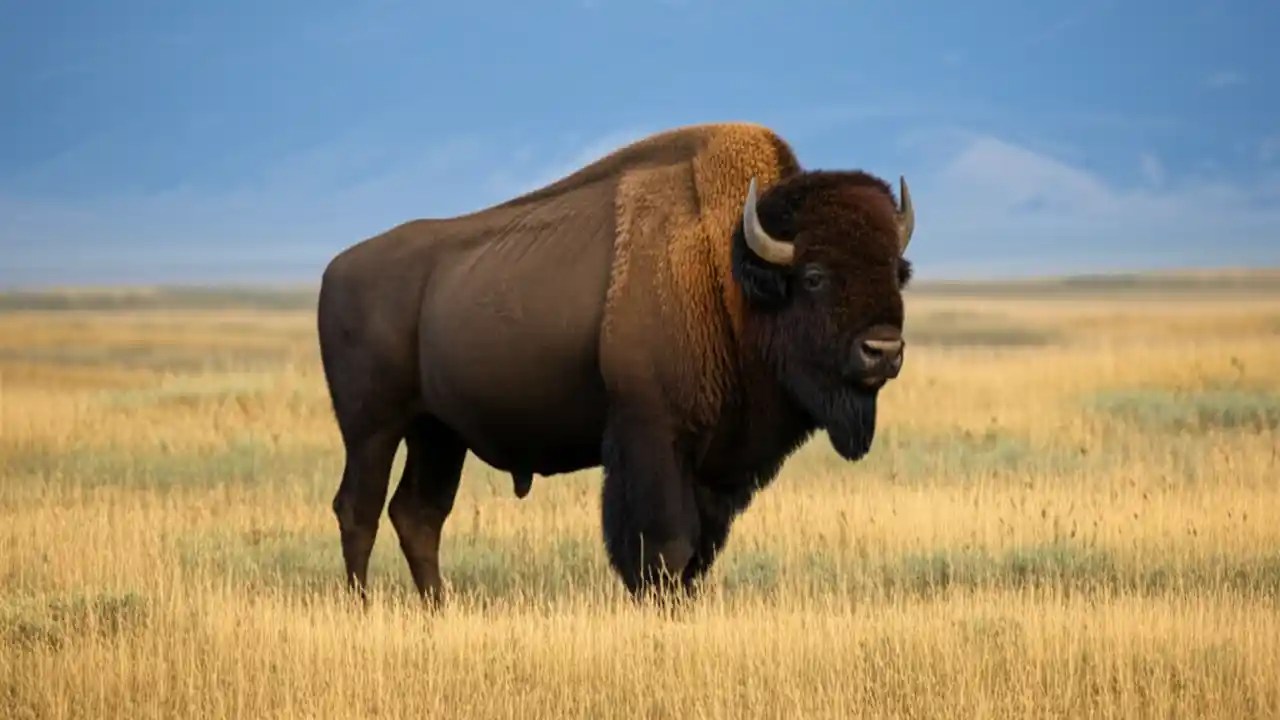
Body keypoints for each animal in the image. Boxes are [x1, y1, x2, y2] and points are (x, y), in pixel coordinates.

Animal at [316, 122, 915, 602]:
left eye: (896, 271)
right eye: (814, 277)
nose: (883, 351)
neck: (730, 274)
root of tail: (335, 271)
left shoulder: (713, 464)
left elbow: (697, 552)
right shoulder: (653, 437)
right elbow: (667, 547)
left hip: (438, 433)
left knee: (418, 515)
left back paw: (438, 608)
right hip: (373, 429)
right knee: (359, 510)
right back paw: (363, 608)